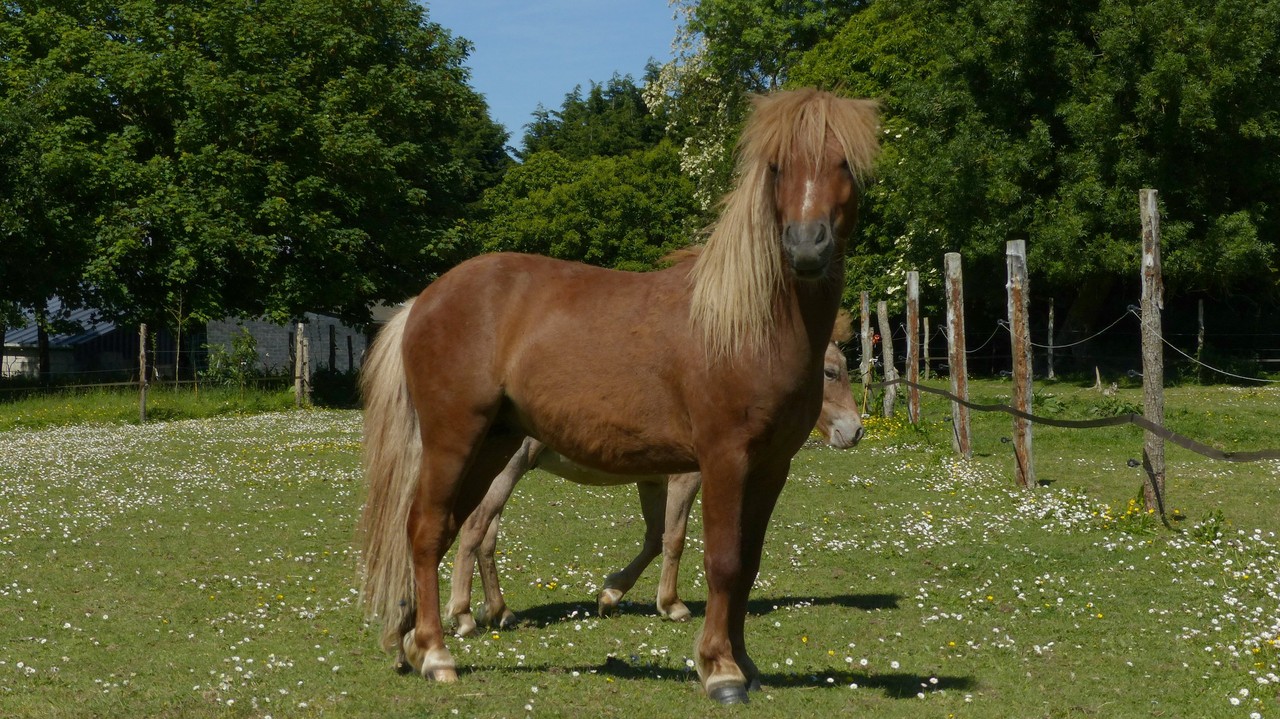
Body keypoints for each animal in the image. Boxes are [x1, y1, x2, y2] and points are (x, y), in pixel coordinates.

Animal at [443, 311, 864, 639]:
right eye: (831, 372)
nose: (856, 431)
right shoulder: (686, 479)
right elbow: (674, 538)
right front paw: (672, 605)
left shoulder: (652, 482)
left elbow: (654, 538)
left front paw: (611, 594)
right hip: (506, 474)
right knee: (474, 531)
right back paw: (464, 614)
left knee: (486, 538)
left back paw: (500, 611)